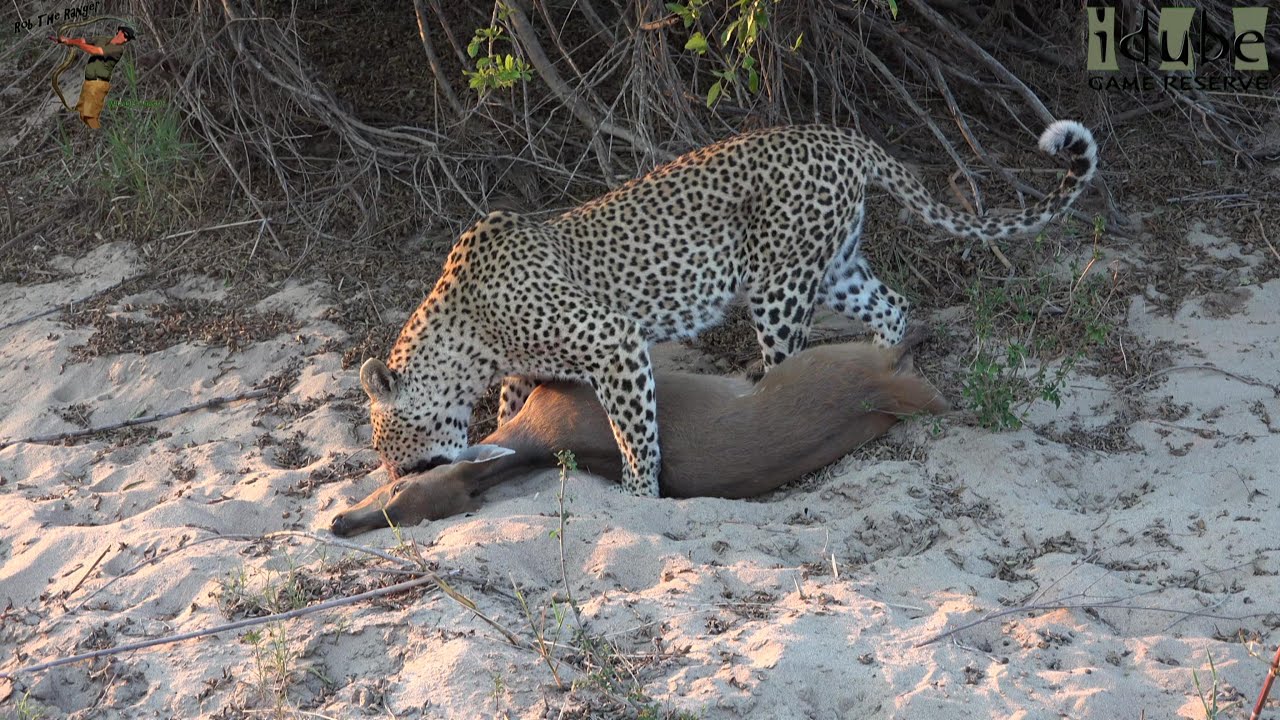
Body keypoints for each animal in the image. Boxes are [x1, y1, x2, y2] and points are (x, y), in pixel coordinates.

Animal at [359, 120, 1098, 497]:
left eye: (392, 446)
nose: (399, 478)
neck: (467, 336)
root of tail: (841, 137)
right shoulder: (527, 366)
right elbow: (517, 411)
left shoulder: (614, 341)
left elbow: (636, 434)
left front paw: (638, 497)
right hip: (834, 269)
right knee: (893, 308)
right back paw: (889, 383)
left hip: (779, 287)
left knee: (788, 368)